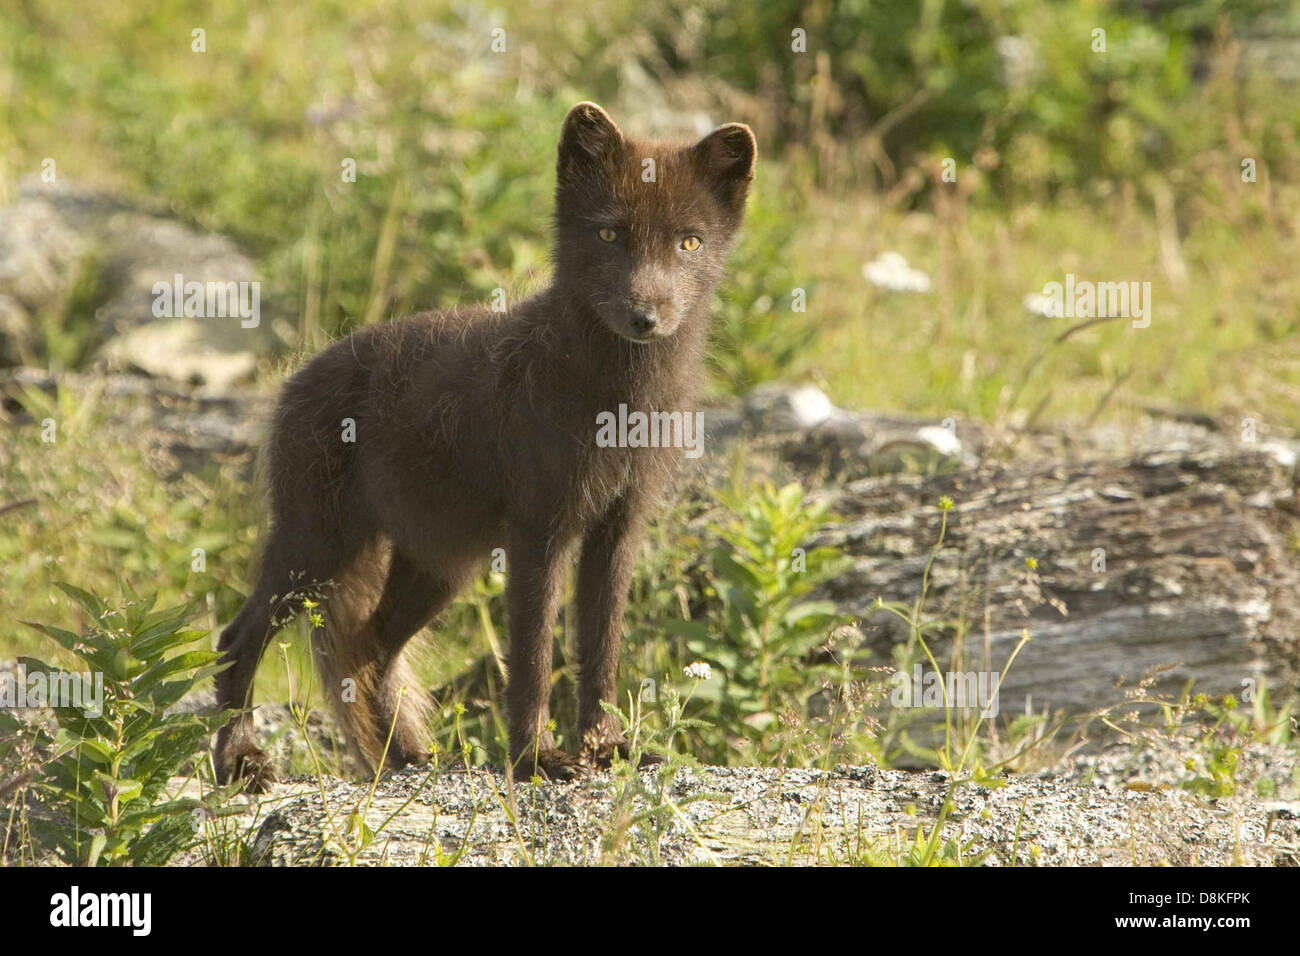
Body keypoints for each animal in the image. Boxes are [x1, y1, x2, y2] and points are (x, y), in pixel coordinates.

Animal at [213, 102, 756, 789]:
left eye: (689, 242)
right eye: (609, 235)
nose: (644, 317)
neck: (622, 404)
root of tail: (297, 375)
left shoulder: (618, 526)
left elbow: (602, 652)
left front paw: (609, 750)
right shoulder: (539, 531)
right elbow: (532, 659)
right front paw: (535, 760)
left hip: (439, 568)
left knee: (367, 650)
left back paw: (407, 763)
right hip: (317, 548)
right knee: (240, 638)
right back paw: (239, 760)